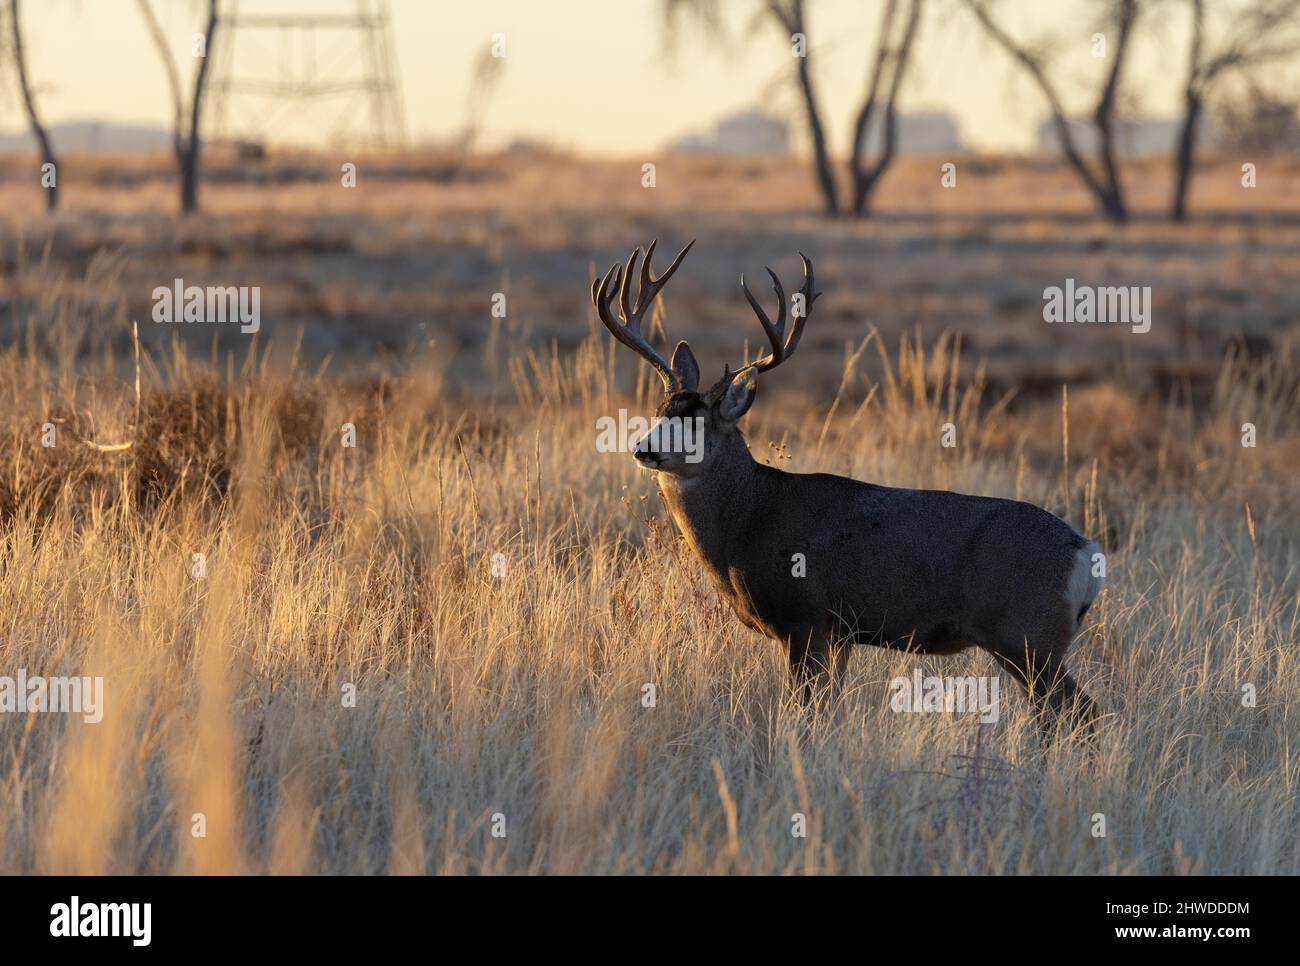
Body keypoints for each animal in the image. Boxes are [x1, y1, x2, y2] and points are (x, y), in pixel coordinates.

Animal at [592, 239, 1103, 731]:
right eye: (660, 412)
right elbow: (827, 708)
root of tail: (1085, 551)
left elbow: (802, 709)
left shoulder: (804, 618)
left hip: (1027, 634)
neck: (749, 521)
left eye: (696, 424)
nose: (643, 448)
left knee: (1081, 712)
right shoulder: (839, 636)